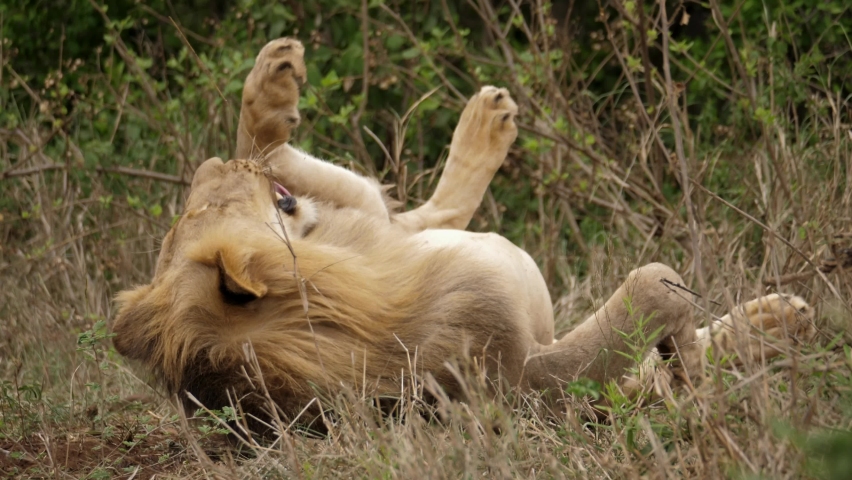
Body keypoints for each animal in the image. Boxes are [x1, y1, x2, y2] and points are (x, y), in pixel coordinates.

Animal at [112, 38, 816, 430]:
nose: (214, 164)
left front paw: (271, 81)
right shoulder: (526, 380)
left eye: (199, 195)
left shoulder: (369, 225)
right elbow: (653, 294)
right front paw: (692, 375)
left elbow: (271, 144)